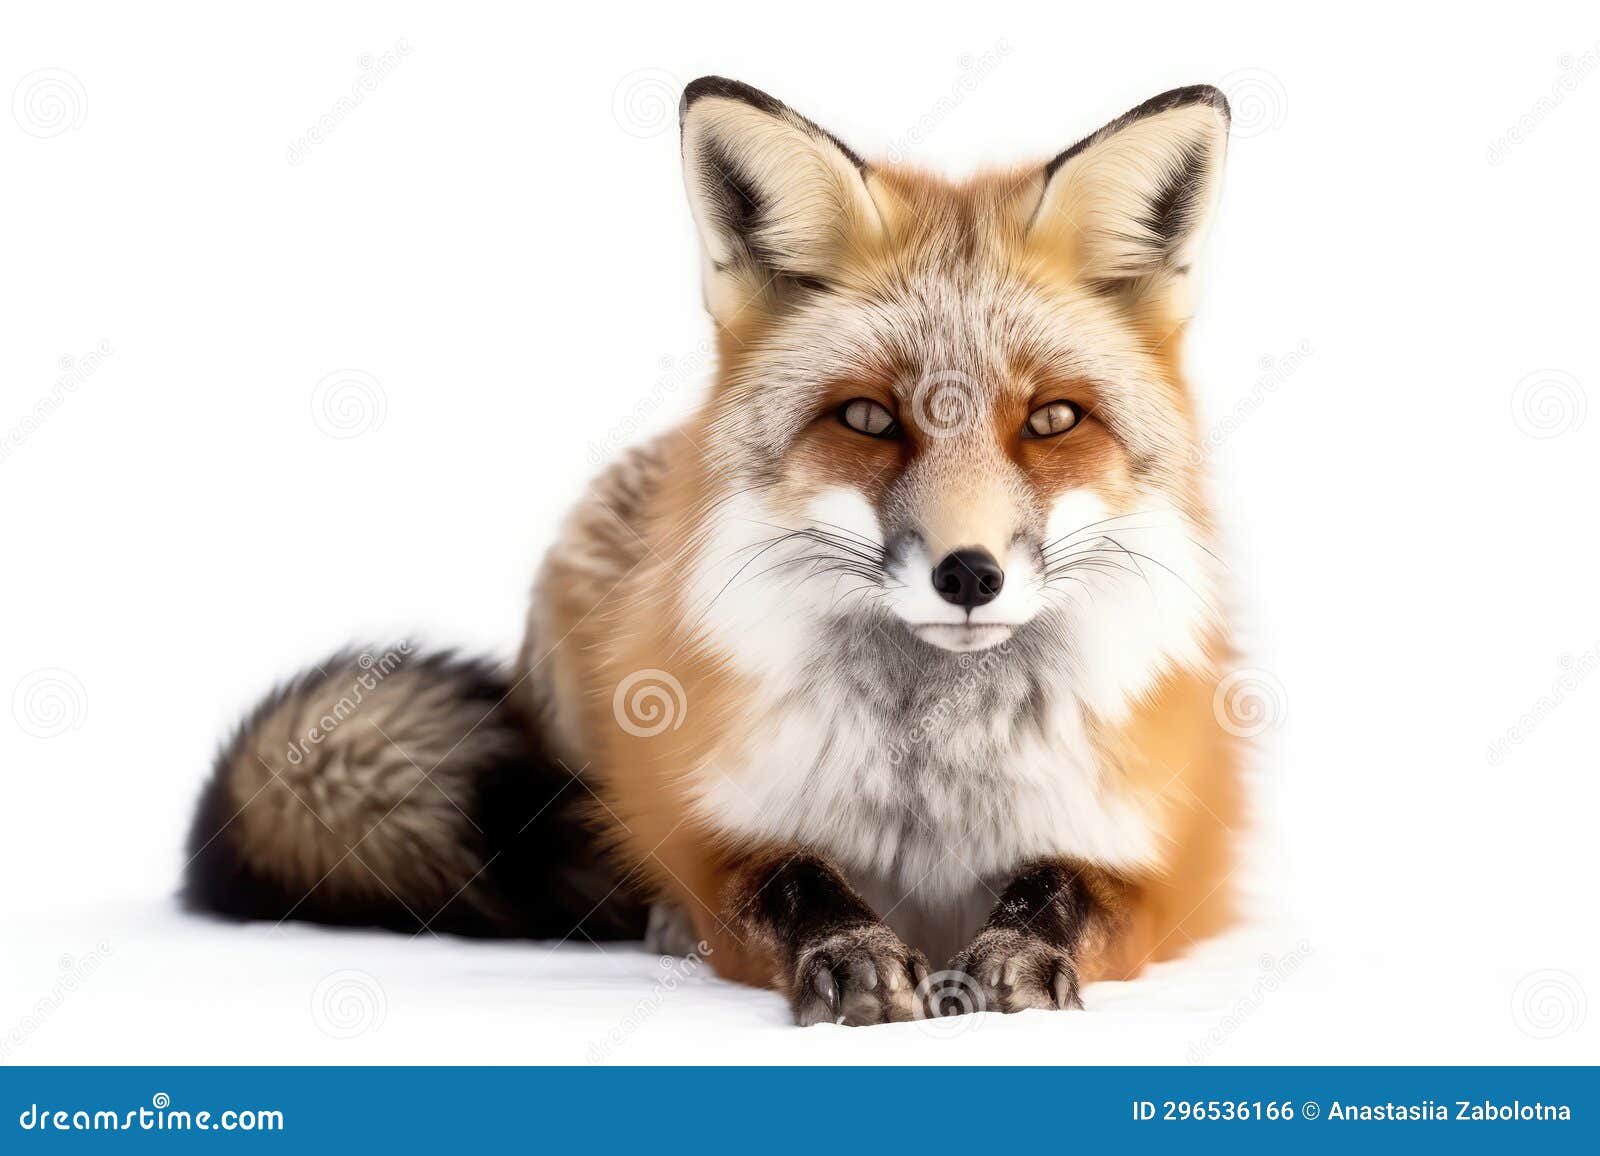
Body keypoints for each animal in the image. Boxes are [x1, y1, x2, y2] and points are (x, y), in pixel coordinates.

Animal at [185, 76, 1243, 1026]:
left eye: (1053, 420)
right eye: (868, 418)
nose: (969, 574)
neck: (934, 790)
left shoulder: (1160, 866)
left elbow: (1064, 893)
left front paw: (1016, 950)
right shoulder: (720, 834)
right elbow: (792, 881)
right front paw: (849, 953)